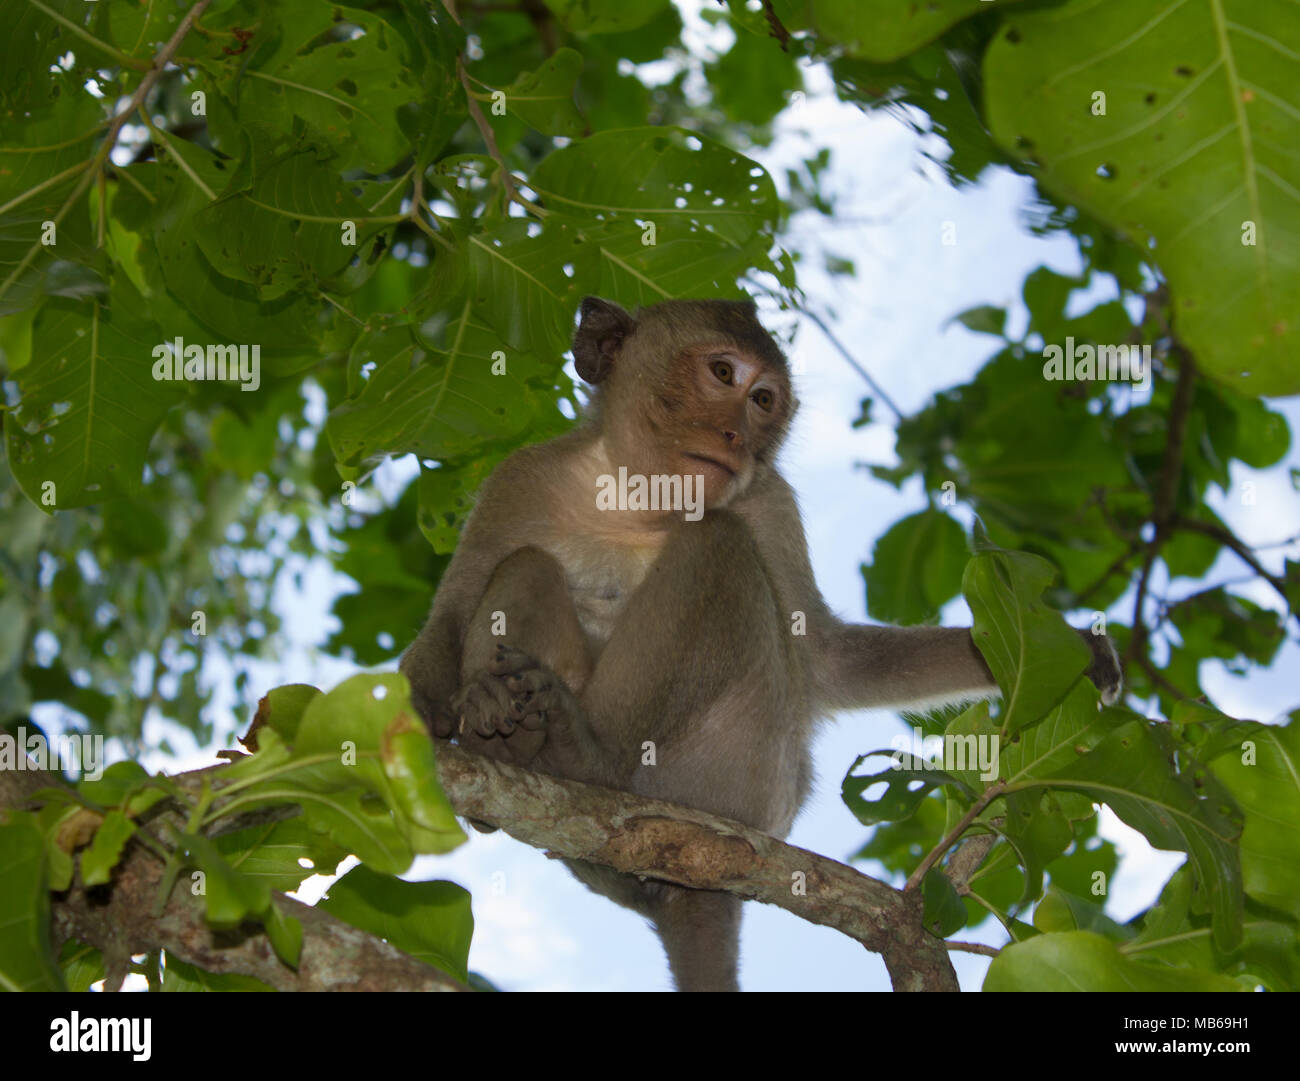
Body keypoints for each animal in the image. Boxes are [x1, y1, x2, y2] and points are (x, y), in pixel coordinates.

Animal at [400, 296, 1122, 991]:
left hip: (737, 774)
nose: (738, 436)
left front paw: (1084, 652)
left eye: (765, 400)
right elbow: (455, 608)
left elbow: (825, 655)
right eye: (724, 374)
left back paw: (584, 753)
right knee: (525, 565)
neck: (637, 501)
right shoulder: (521, 477)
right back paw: (508, 726)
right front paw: (427, 710)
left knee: (716, 544)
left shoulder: (768, 501)